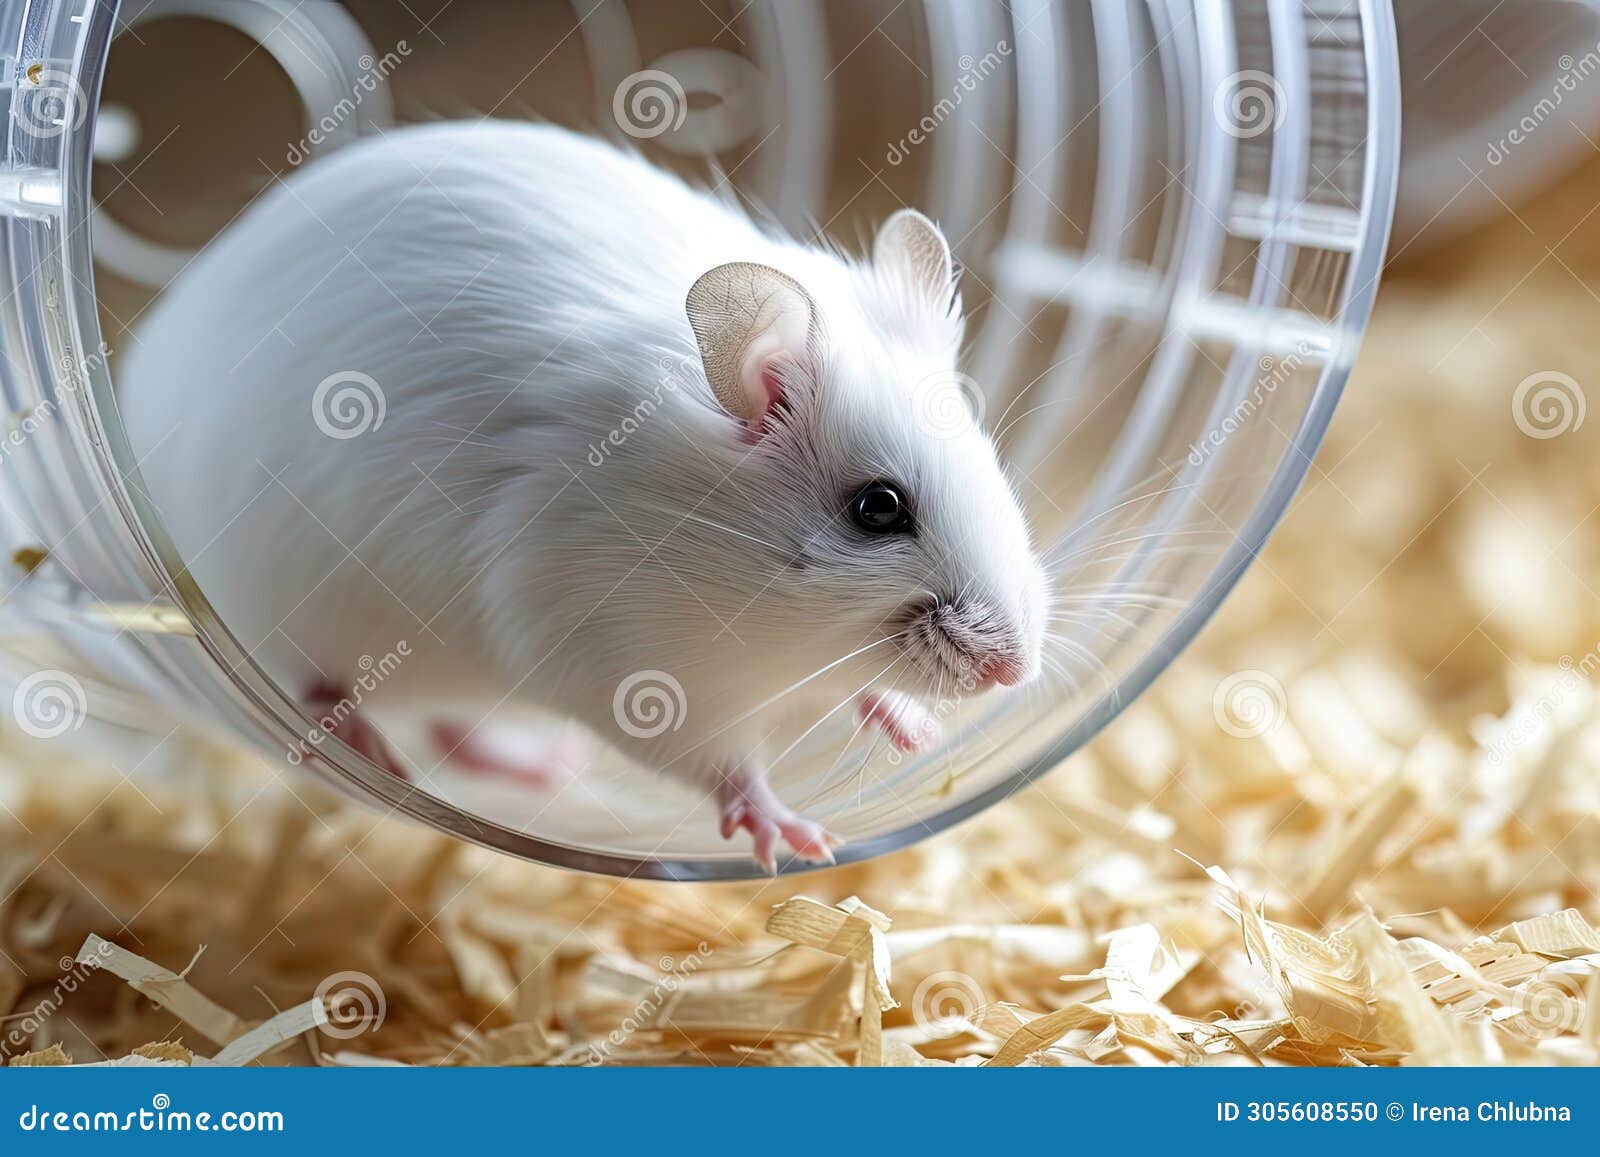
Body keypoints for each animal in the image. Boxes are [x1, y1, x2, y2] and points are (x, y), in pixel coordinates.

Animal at [119, 122, 1048, 872]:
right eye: (878, 508)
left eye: (992, 465)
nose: (1014, 674)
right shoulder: (620, 660)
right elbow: (727, 767)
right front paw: (799, 837)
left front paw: (912, 727)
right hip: (286, 606)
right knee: (315, 687)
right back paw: (369, 747)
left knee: (453, 725)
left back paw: (537, 764)